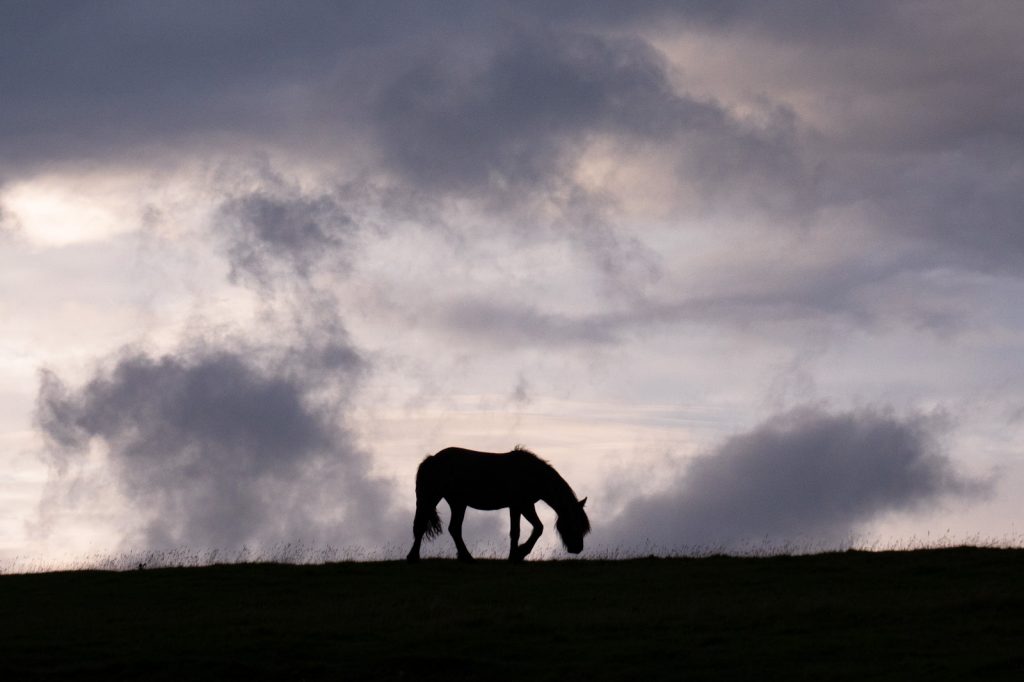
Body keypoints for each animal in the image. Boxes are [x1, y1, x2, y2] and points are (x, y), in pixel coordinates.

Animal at [406, 446, 590, 562]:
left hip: (457, 503)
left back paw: (464, 557)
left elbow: (515, 532)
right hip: (434, 498)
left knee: (451, 528)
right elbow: (538, 528)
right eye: (575, 523)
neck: (532, 474)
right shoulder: (524, 505)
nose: (578, 548)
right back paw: (415, 557)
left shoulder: (516, 507)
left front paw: (513, 555)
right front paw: (520, 553)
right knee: (426, 525)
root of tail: (432, 459)